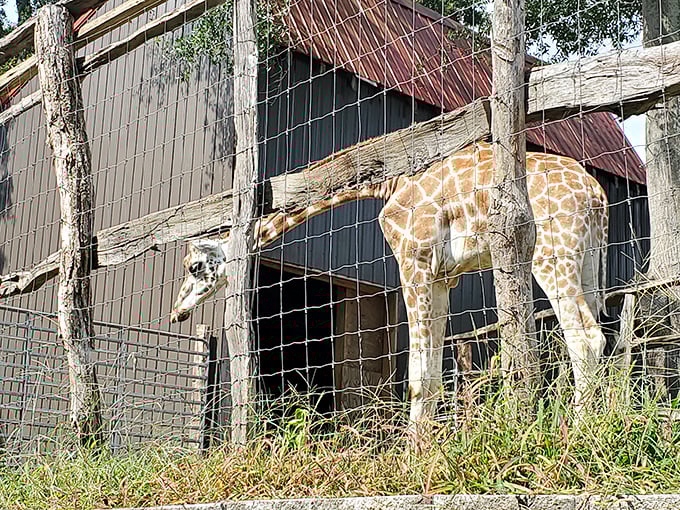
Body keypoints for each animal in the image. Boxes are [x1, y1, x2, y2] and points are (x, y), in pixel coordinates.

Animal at [171, 141, 609, 427]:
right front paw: (425, 449)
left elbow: (416, 373)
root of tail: (597, 194)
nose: (177, 312)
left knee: (585, 337)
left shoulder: (413, 263)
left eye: (194, 266)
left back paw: (580, 432)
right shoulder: (443, 277)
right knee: (602, 335)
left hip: (551, 254)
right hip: (587, 260)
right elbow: (430, 373)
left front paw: (412, 456)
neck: (391, 184)